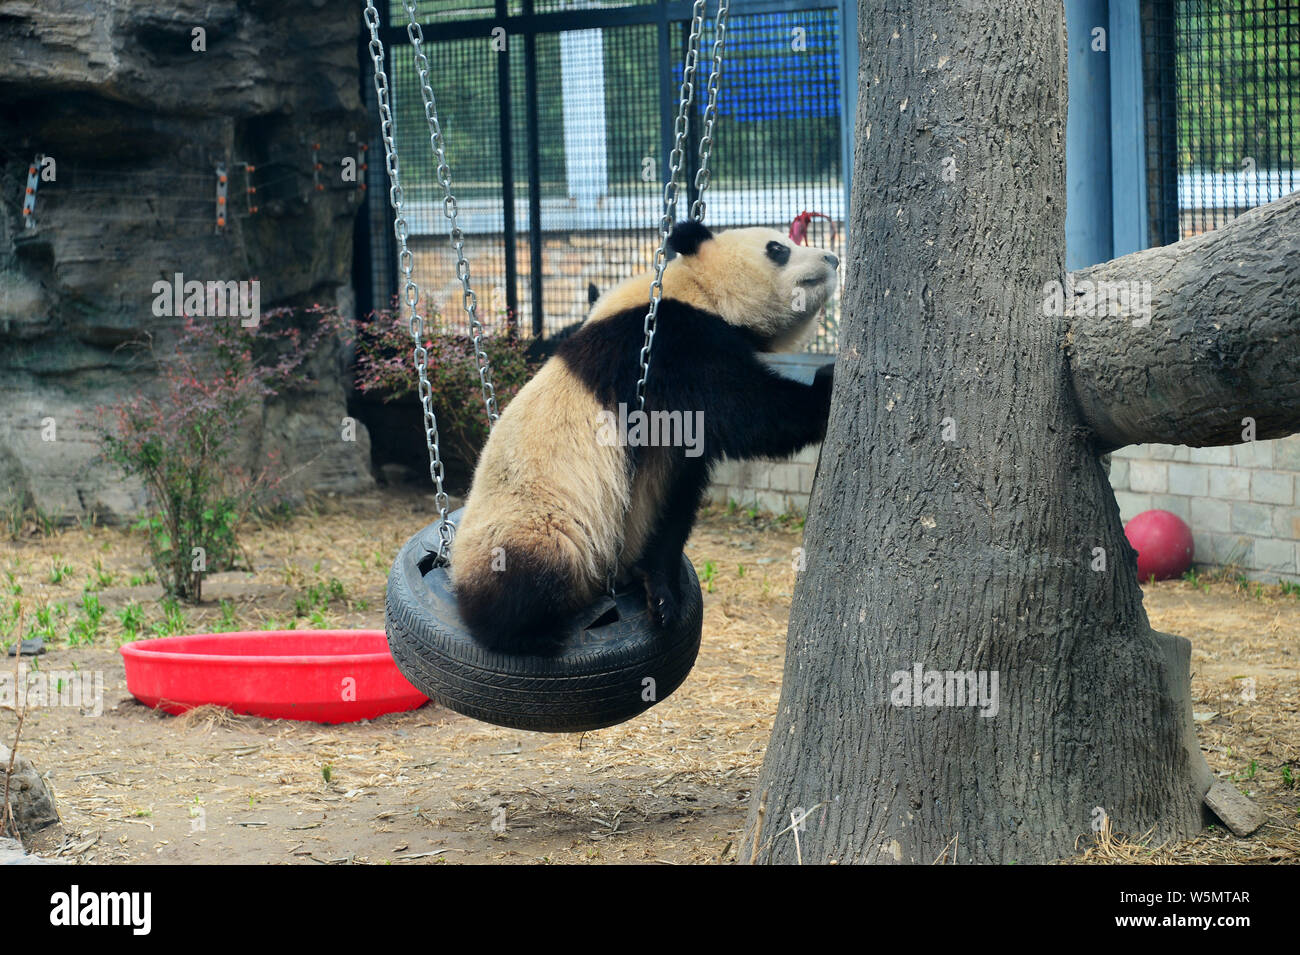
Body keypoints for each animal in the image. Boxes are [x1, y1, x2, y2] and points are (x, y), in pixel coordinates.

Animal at [449, 221, 839, 649]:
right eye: (777, 248)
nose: (832, 258)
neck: (699, 289)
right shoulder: (667, 344)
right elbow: (743, 406)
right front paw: (825, 386)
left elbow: (674, 506)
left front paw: (662, 591)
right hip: (530, 517)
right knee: (525, 574)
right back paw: (534, 634)